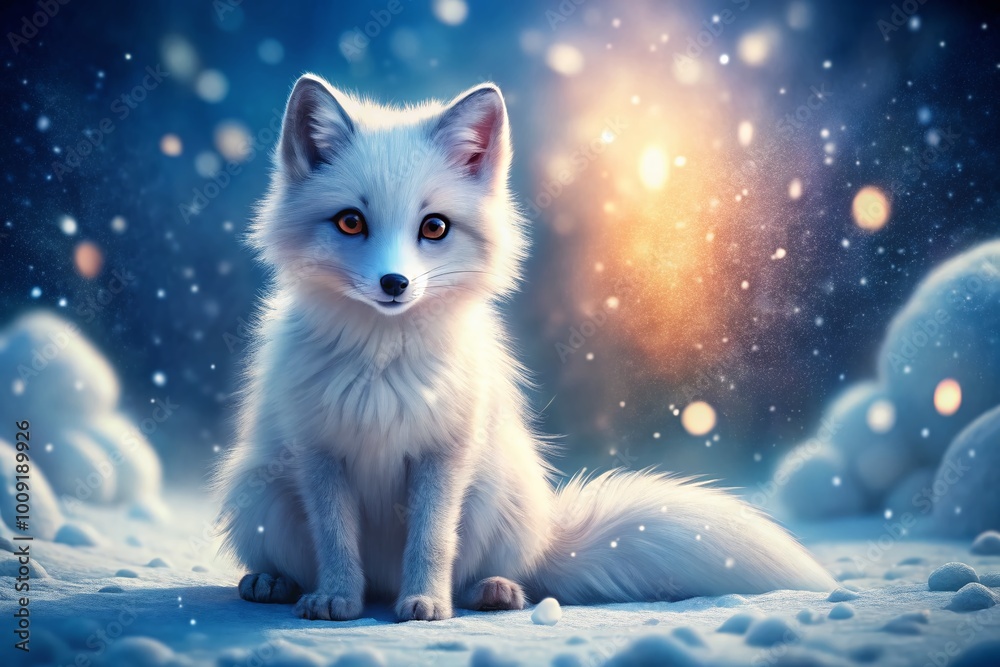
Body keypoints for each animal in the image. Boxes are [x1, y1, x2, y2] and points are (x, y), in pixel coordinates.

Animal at [213, 73, 836, 622]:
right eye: (350, 222)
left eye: (434, 227)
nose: (395, 284)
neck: (382, 366)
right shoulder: (319, 454)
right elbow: (336, 540)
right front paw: (336, 599)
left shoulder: (446, 453)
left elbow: (432, 539)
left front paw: (427, 605)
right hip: (256, 489)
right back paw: (273, 582)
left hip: (499, 489)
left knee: (501, 571)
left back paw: (490, 590)